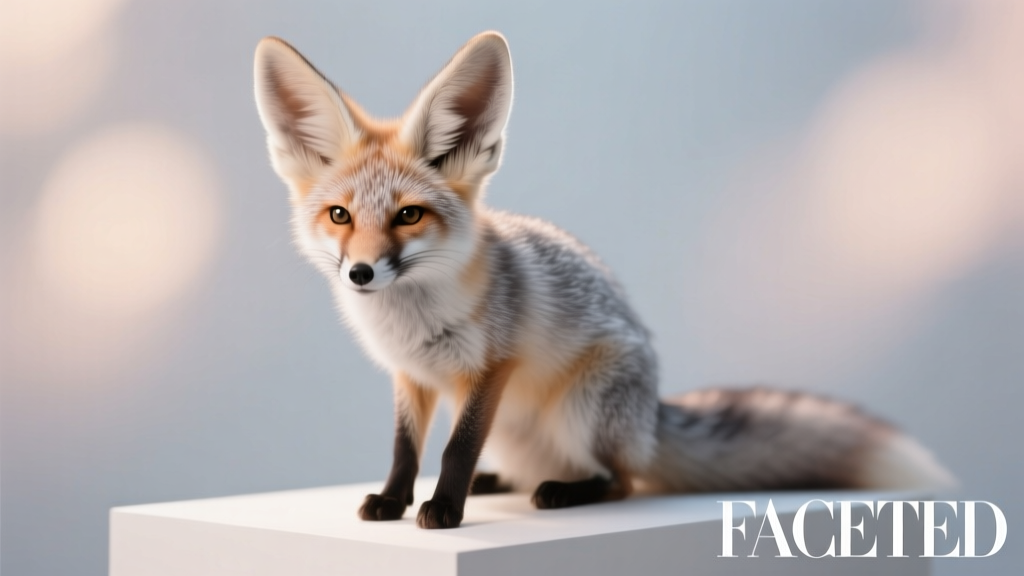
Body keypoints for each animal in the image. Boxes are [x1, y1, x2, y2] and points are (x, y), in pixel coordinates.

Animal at [253, 31, 954, 529]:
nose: (361, 272)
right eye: (340, 216)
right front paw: (395, 500)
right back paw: (501, 481)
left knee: (623, 480)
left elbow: (455, 448)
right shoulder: (412, 378)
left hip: (583, 408)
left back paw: (563, 491)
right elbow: (406, 450)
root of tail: (652, 416)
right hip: (527, 428)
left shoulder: (493, 368)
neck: (411, 321)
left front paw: (444, 510)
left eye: (409, 215)